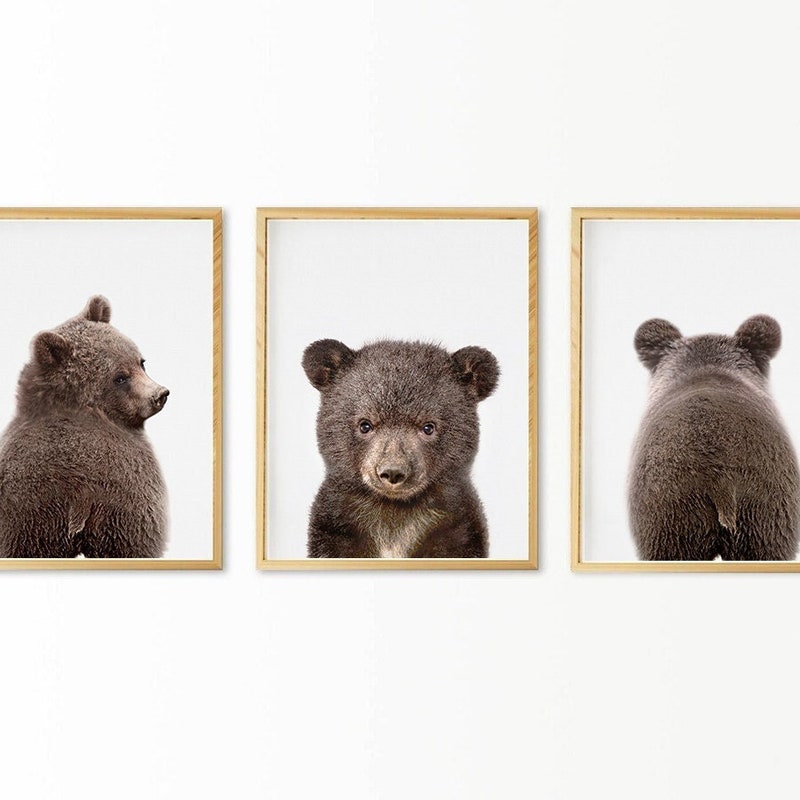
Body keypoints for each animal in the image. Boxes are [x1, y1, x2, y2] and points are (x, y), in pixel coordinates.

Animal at [301, 339, 499, 558]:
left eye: (428, 427)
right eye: (365, 425)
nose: (393, 472)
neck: (395, 511)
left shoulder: (458, 530)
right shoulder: (335, 530)